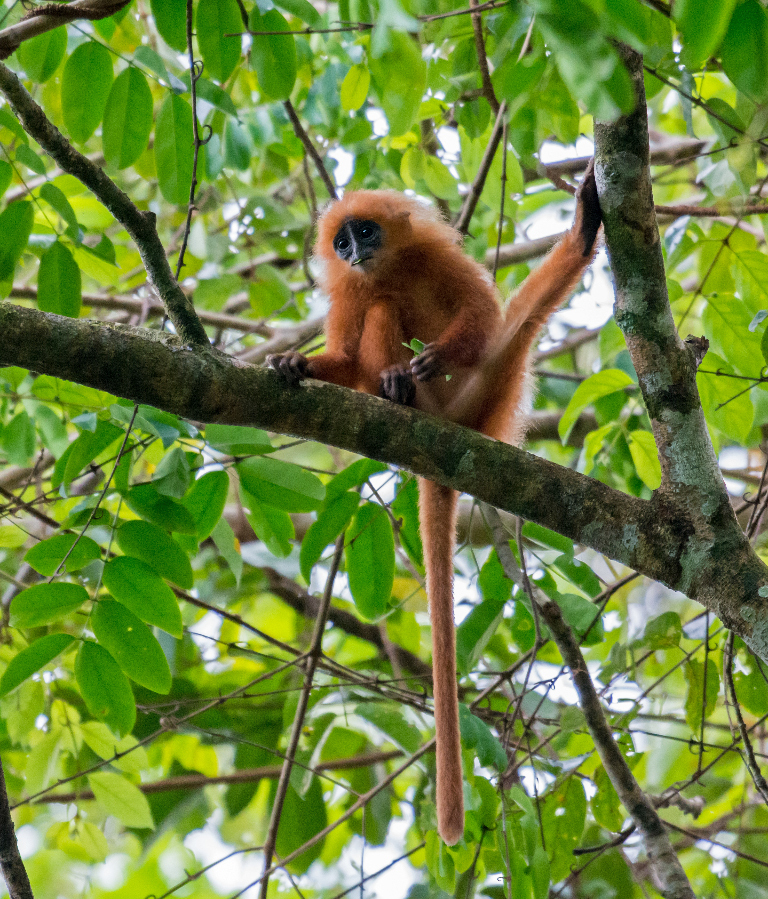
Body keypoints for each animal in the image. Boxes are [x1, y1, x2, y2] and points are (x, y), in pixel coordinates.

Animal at [267, 162, 601, 846]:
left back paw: (581, 237)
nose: (355, 252)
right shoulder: (349, 292)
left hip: (486, 393)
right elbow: (349, 352)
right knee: (381, 318)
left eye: (366, 232)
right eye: (341, 243)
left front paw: (439, 352)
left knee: (517, 323)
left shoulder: (441, 259)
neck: (390, 269)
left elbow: (484, 313)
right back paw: (395, 389)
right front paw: (299, 364)